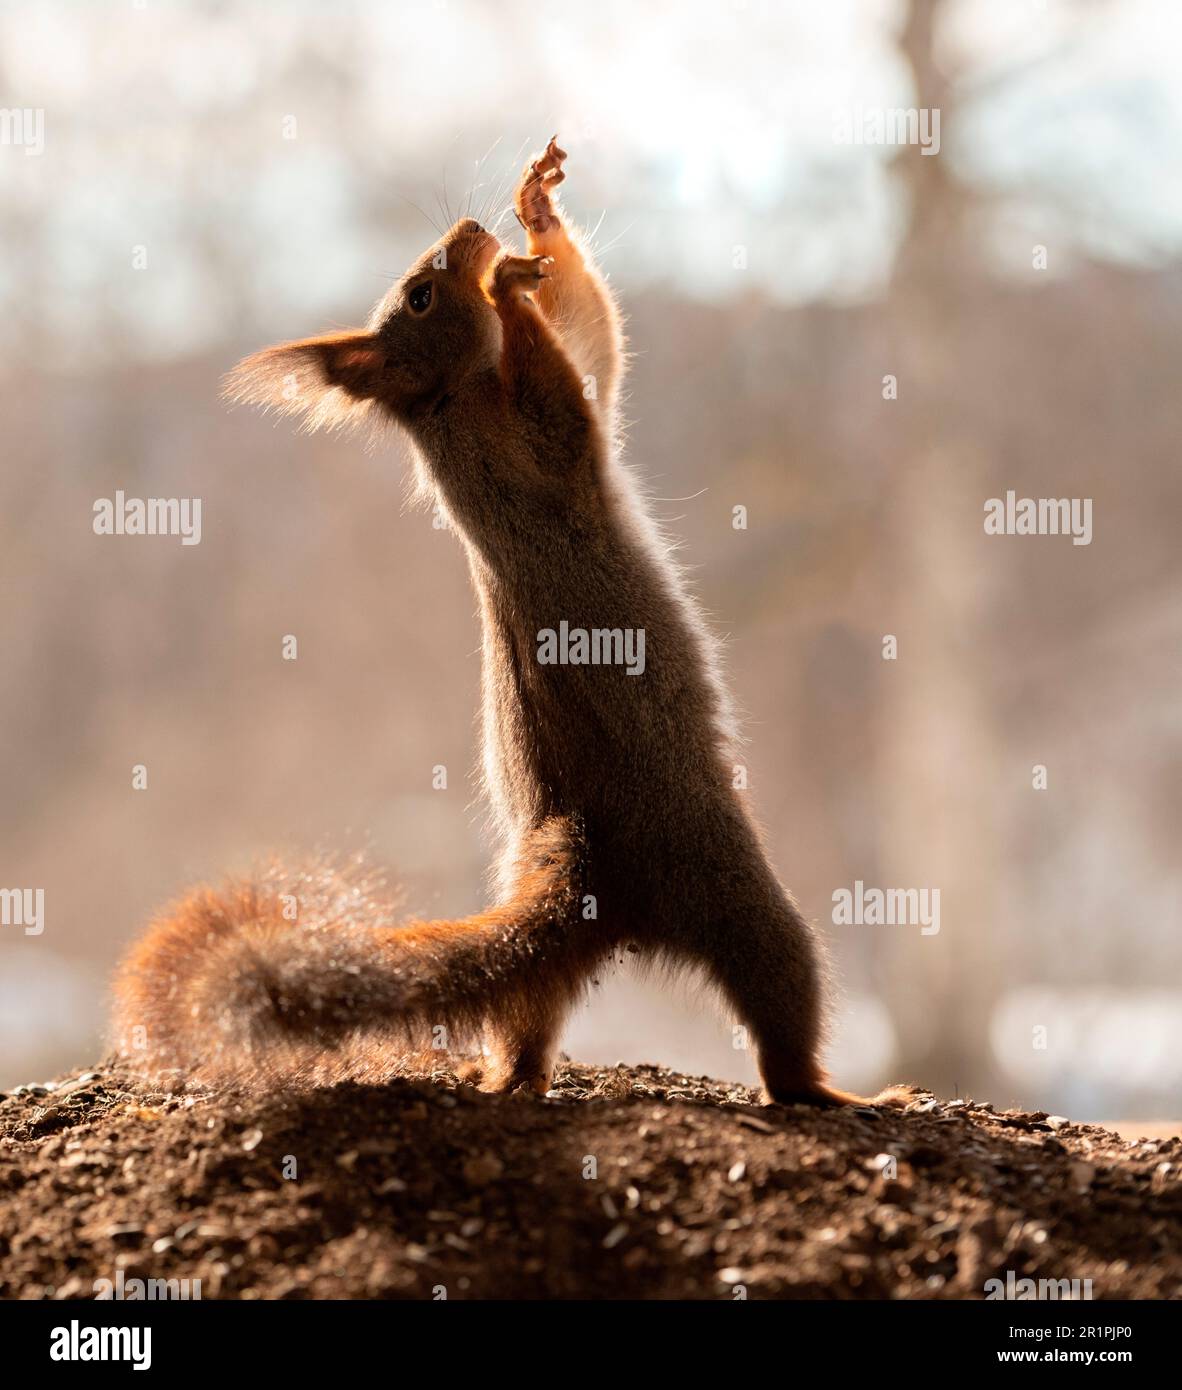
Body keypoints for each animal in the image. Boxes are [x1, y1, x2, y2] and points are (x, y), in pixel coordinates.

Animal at [113, 139, 908, 1108]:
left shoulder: (571, 390)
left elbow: (596, 335)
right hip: (733, 886)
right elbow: (565, 387)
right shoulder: (531, 450)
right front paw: (505, 286)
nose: (467, 230)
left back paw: (503, 1078)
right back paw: (841, 1092)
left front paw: (536, 213)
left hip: (550, 976)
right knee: (778, 1009)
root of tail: (591, 869)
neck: (454, 396)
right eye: (420, 295)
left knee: (525, 1019)